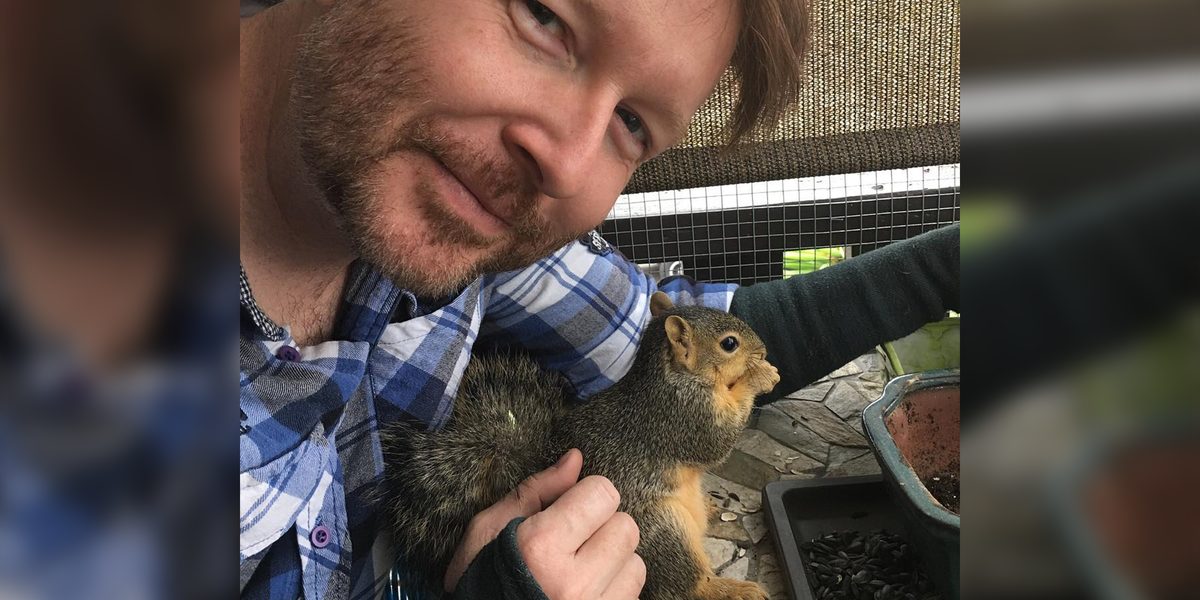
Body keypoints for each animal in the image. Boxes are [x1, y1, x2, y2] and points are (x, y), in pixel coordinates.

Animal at [378, 291, 781, 599]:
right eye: (729, 344)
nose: (763, 349)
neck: (667, 375)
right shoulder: (681, 414)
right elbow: (717, 441)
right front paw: (759, 376)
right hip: (659, 531)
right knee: (685, 586)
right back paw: (731, 588)